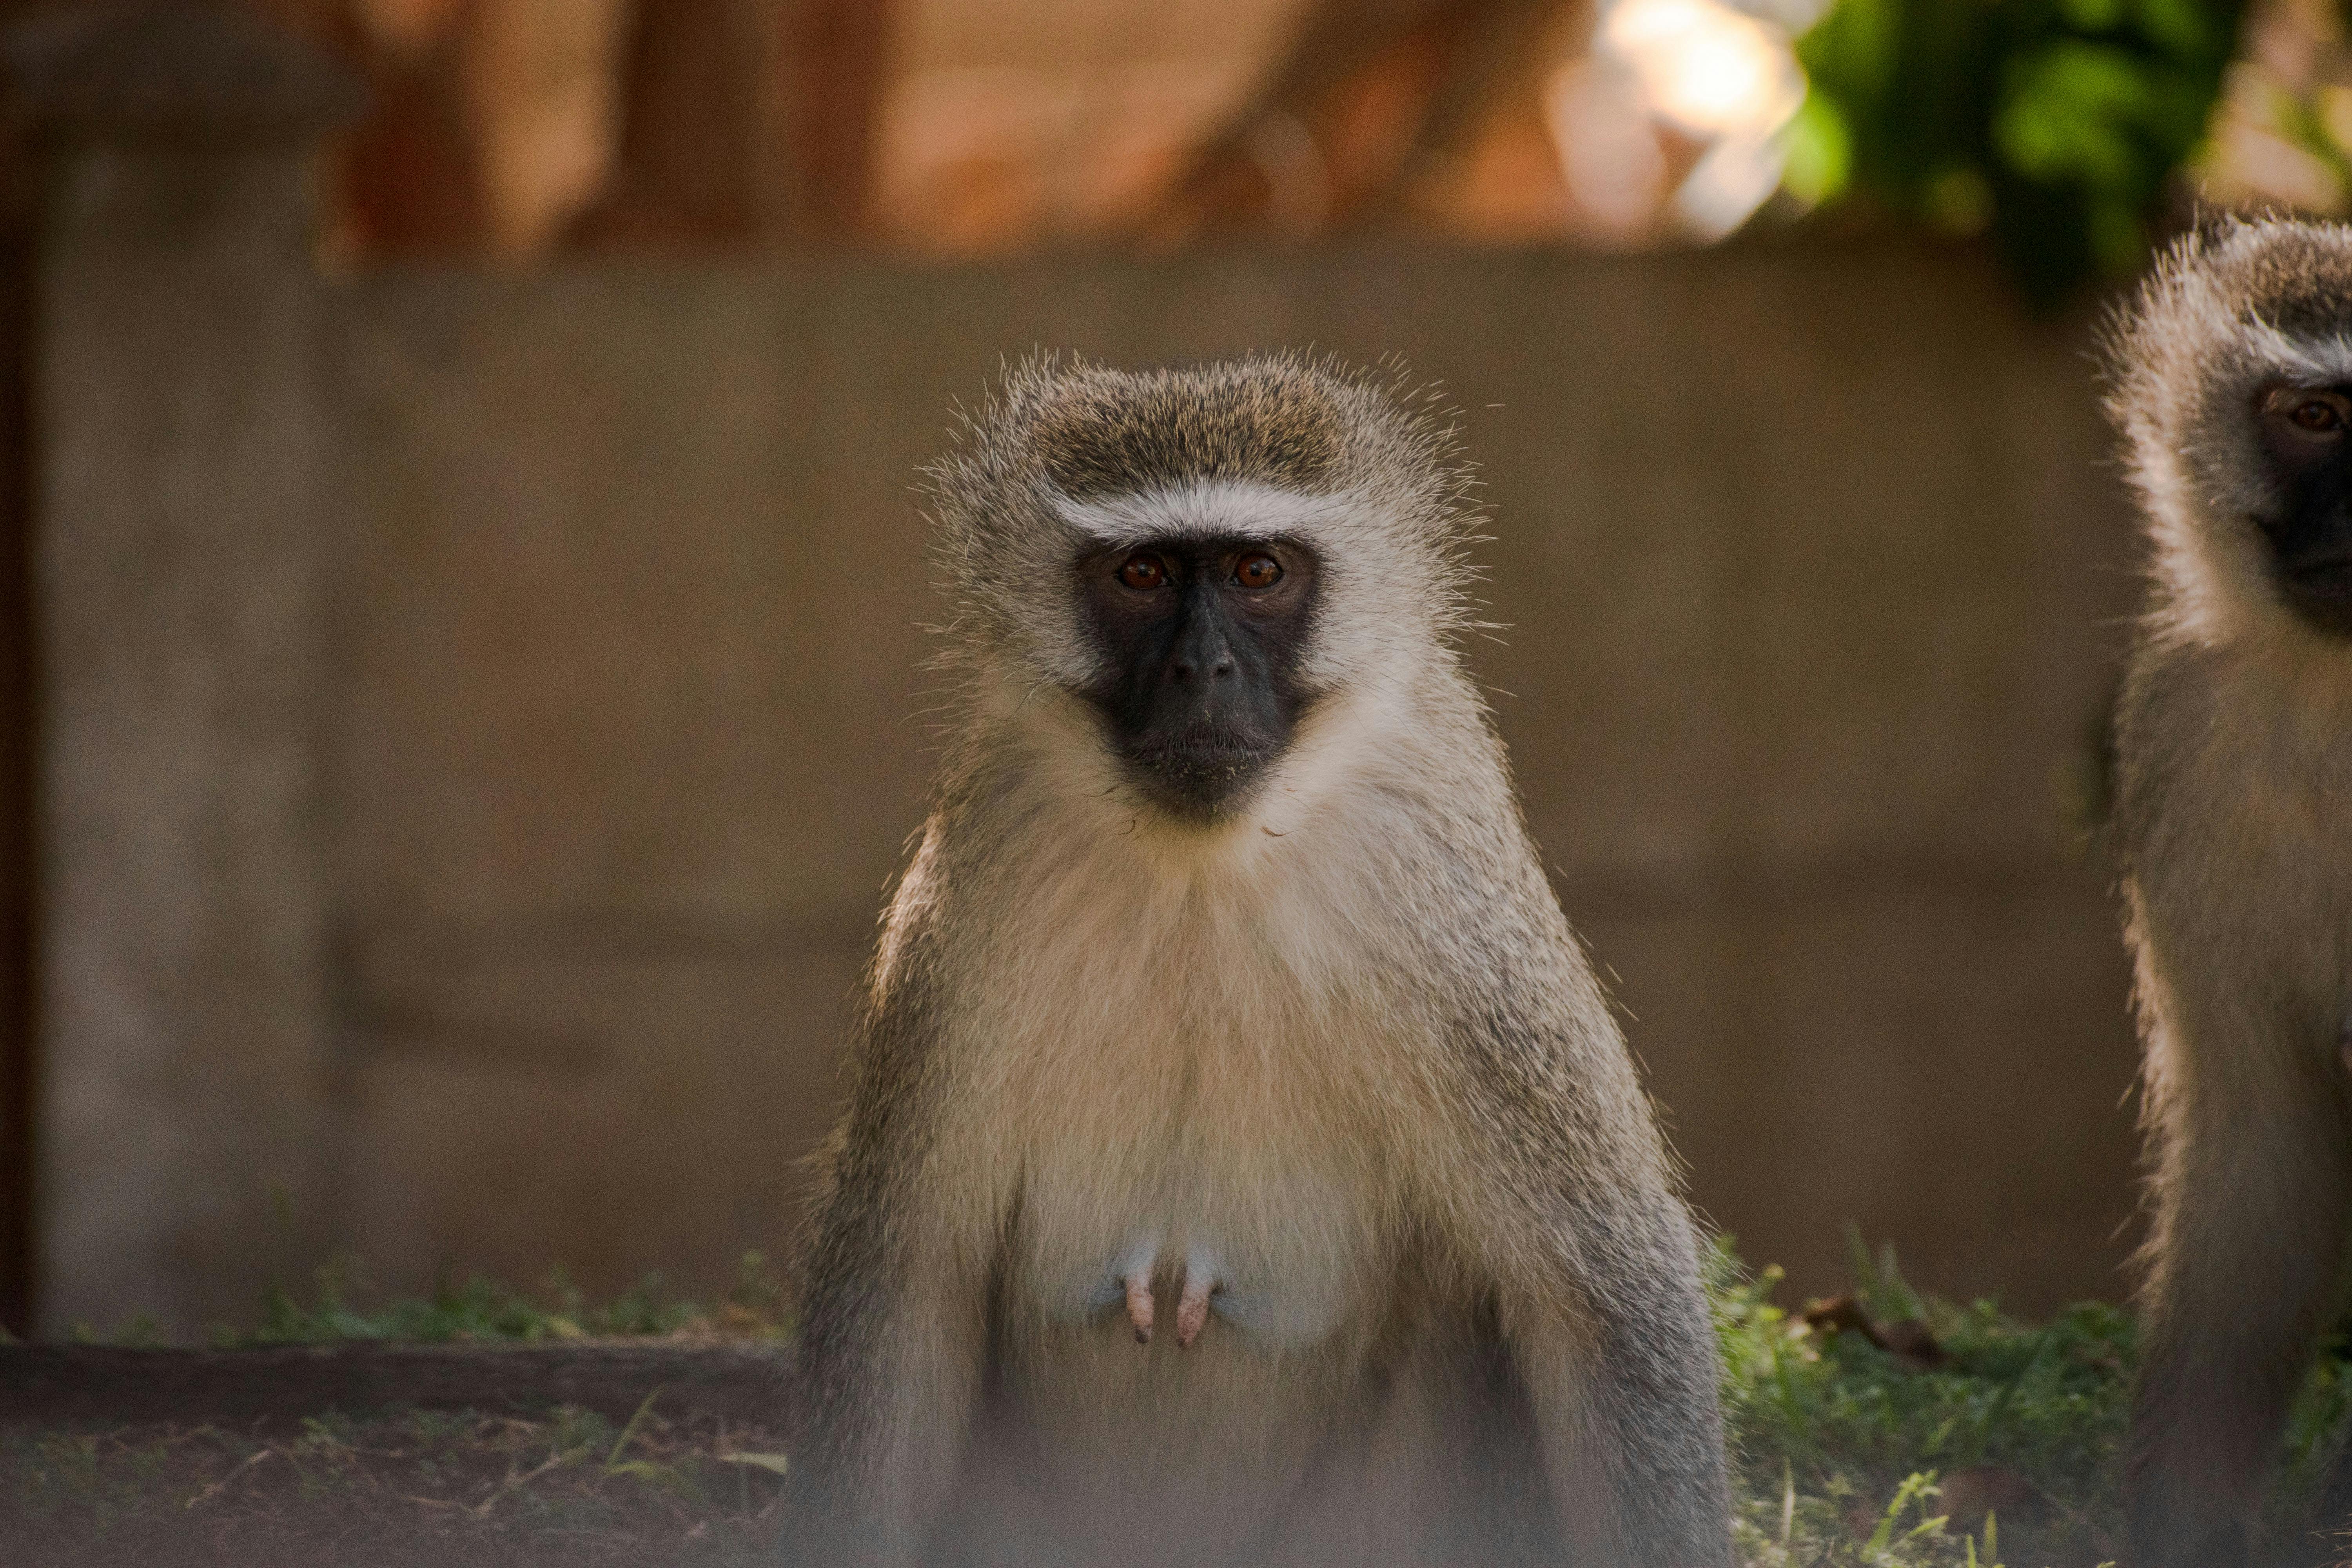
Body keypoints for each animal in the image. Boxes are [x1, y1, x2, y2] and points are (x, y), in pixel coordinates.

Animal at [778, 353, 1733, 1568]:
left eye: (1257, 570)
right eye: (1142, 574)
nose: (1204, 667)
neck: (1207, 864)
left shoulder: (1453, 910)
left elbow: (1601, 1291)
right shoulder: (980, 875)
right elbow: (903, 1283)